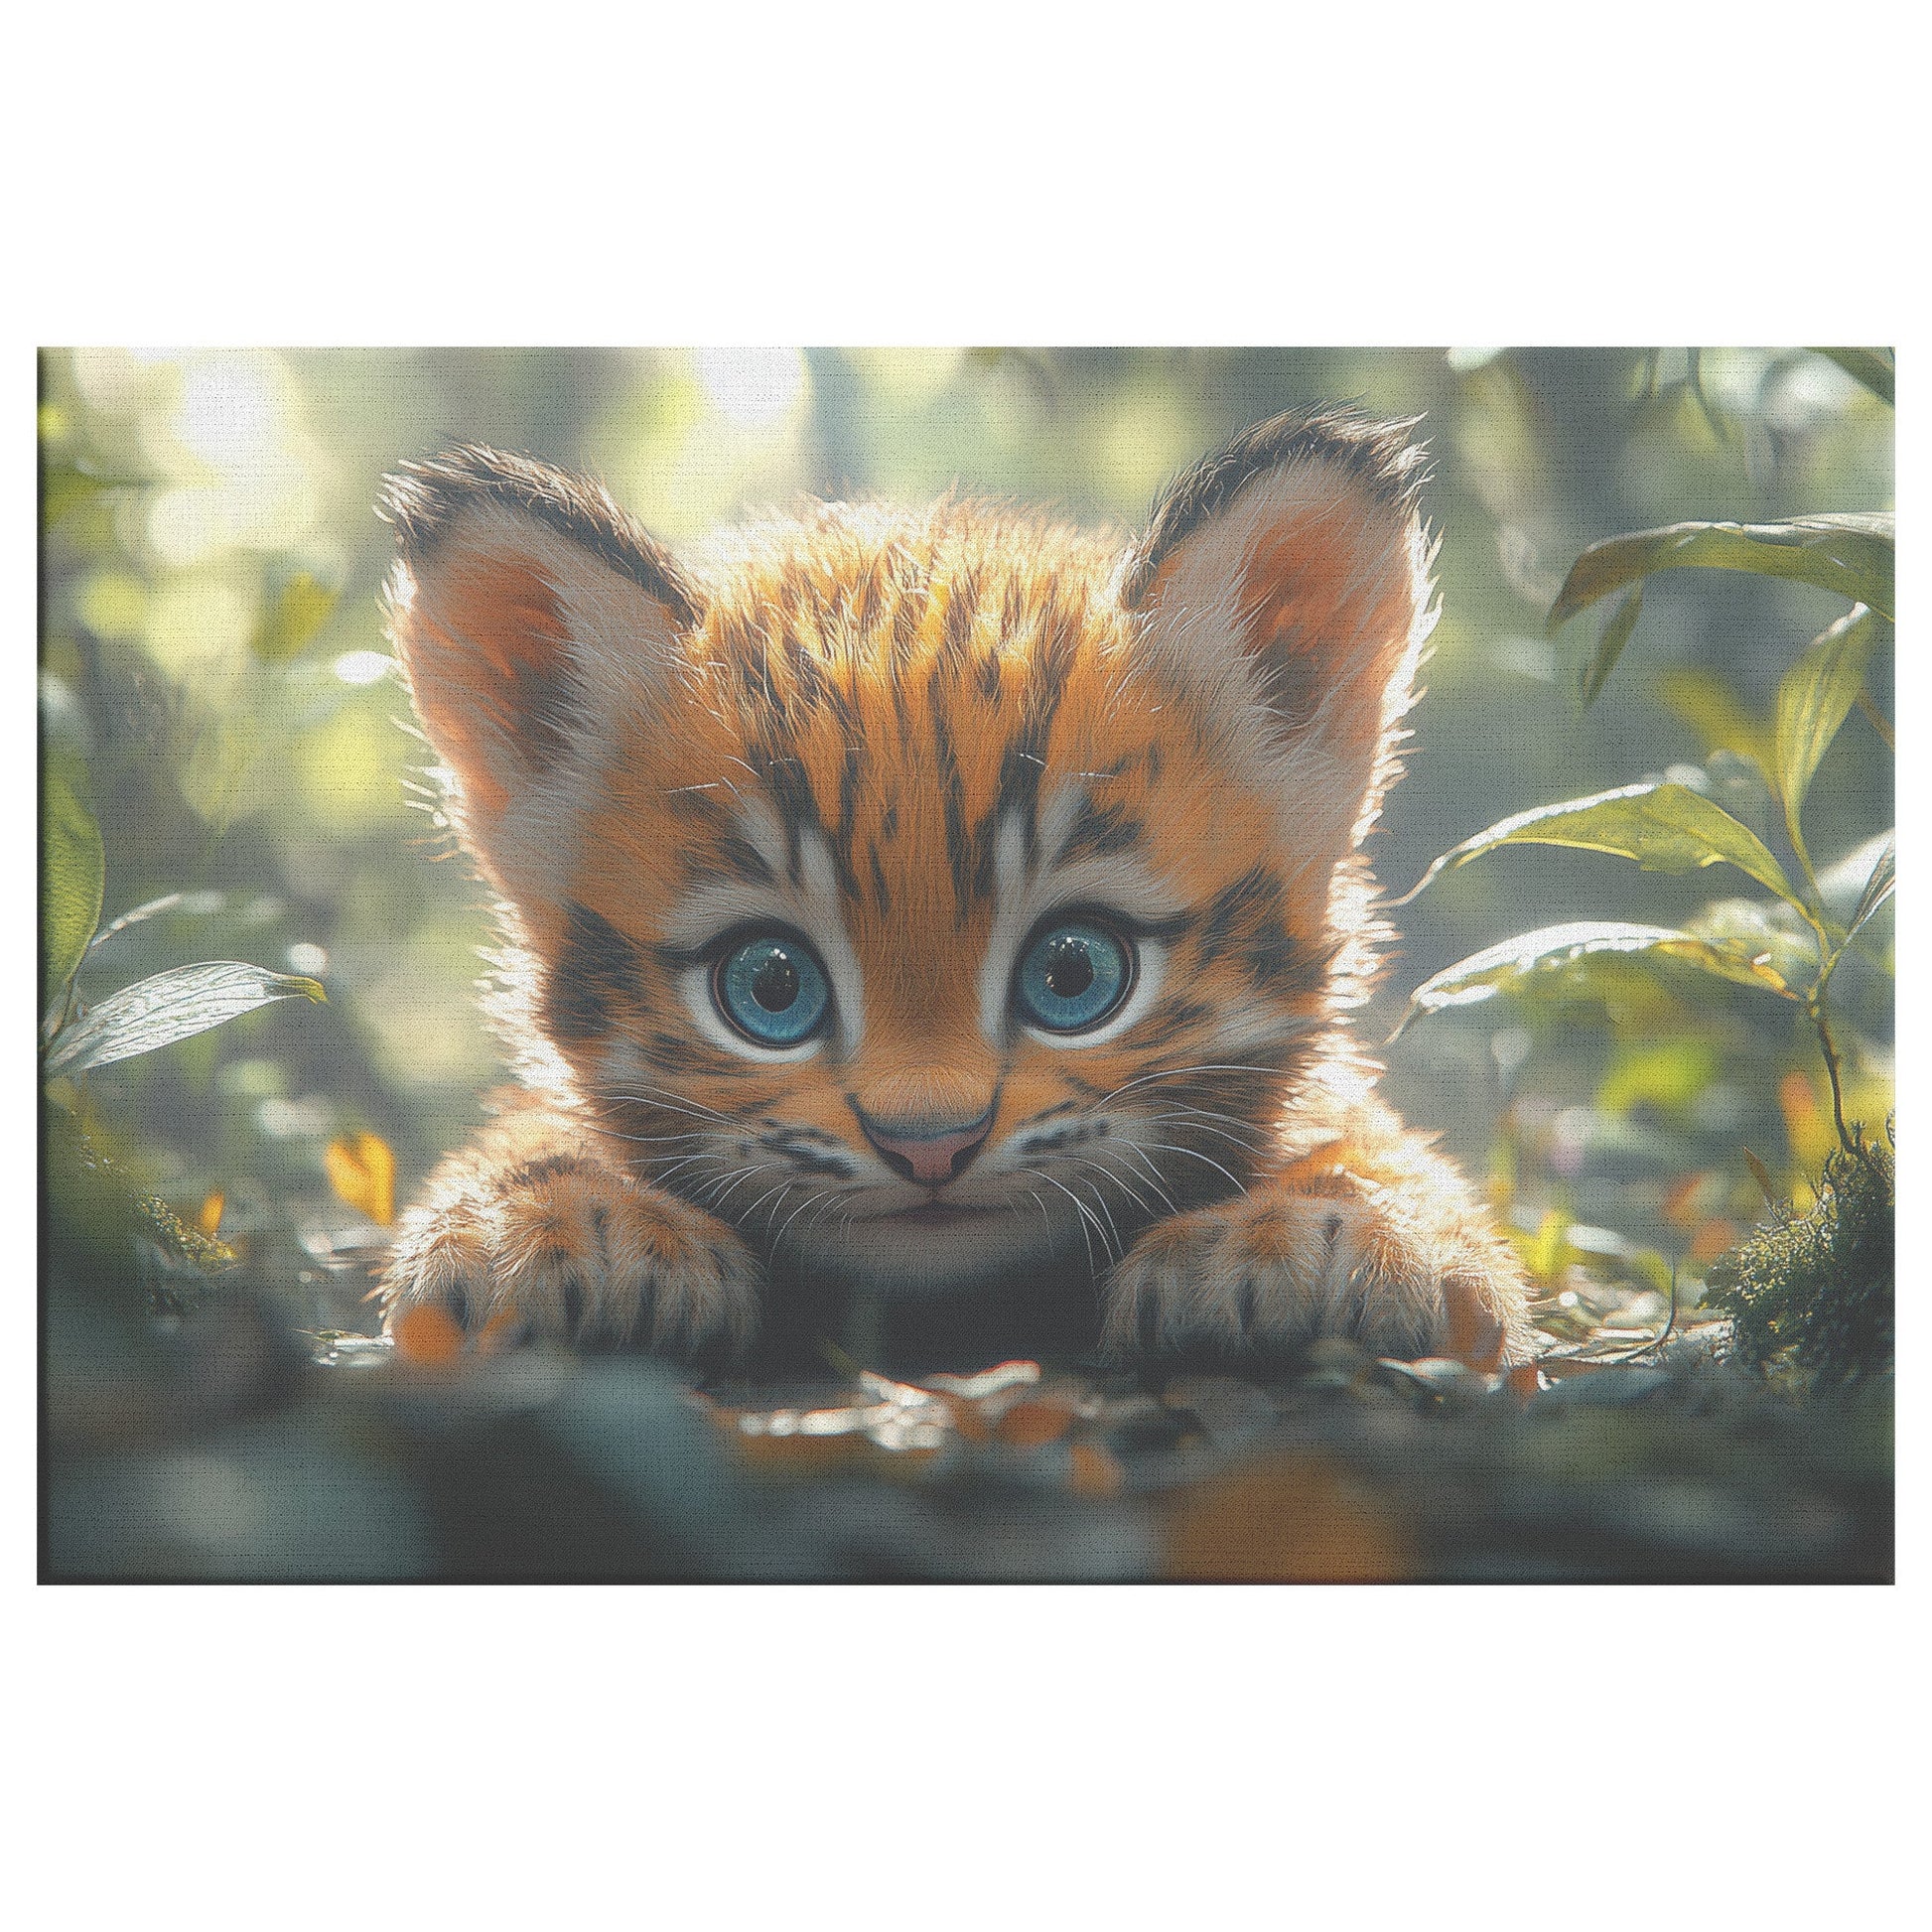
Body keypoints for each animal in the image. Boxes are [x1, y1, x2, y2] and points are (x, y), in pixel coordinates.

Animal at [374, 405, 1534, 1375]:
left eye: (1073, 974)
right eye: (771, 989)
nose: (926, 1143)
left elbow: (1366, 1139)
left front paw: (1317, 1224)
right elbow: (534, 1126)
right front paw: (570, 1220)